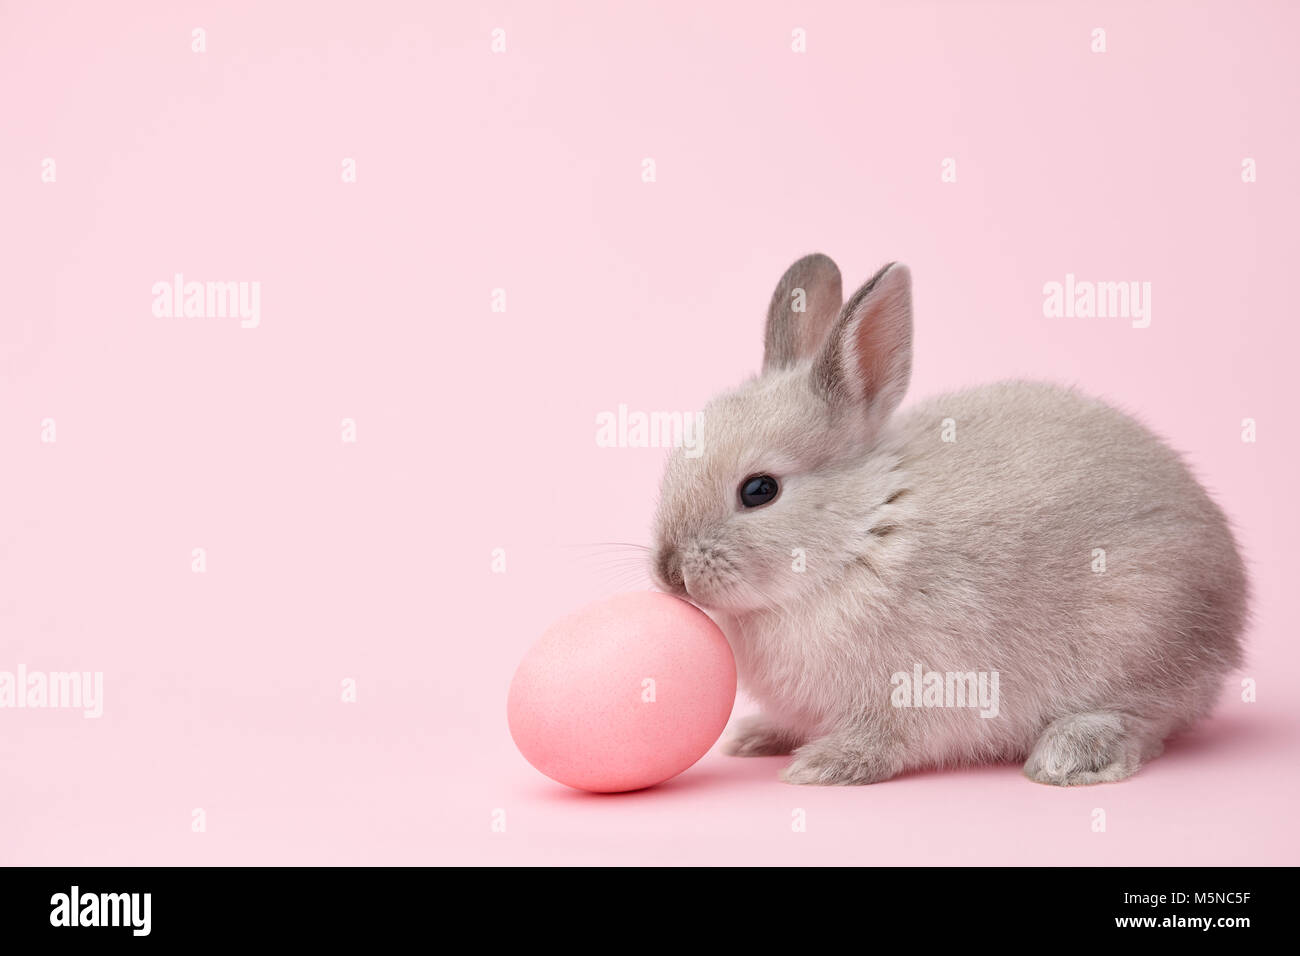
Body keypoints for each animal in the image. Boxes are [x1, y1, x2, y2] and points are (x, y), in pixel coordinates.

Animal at [649, 254, 1247, 786]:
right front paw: (758, 736)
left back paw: (1070, 755)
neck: (862, 534)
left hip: (1140, 636)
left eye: (760, 490)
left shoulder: (917, 687)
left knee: (1146, 718)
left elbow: (885, 738)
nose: (668, 572)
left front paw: (825, 766)